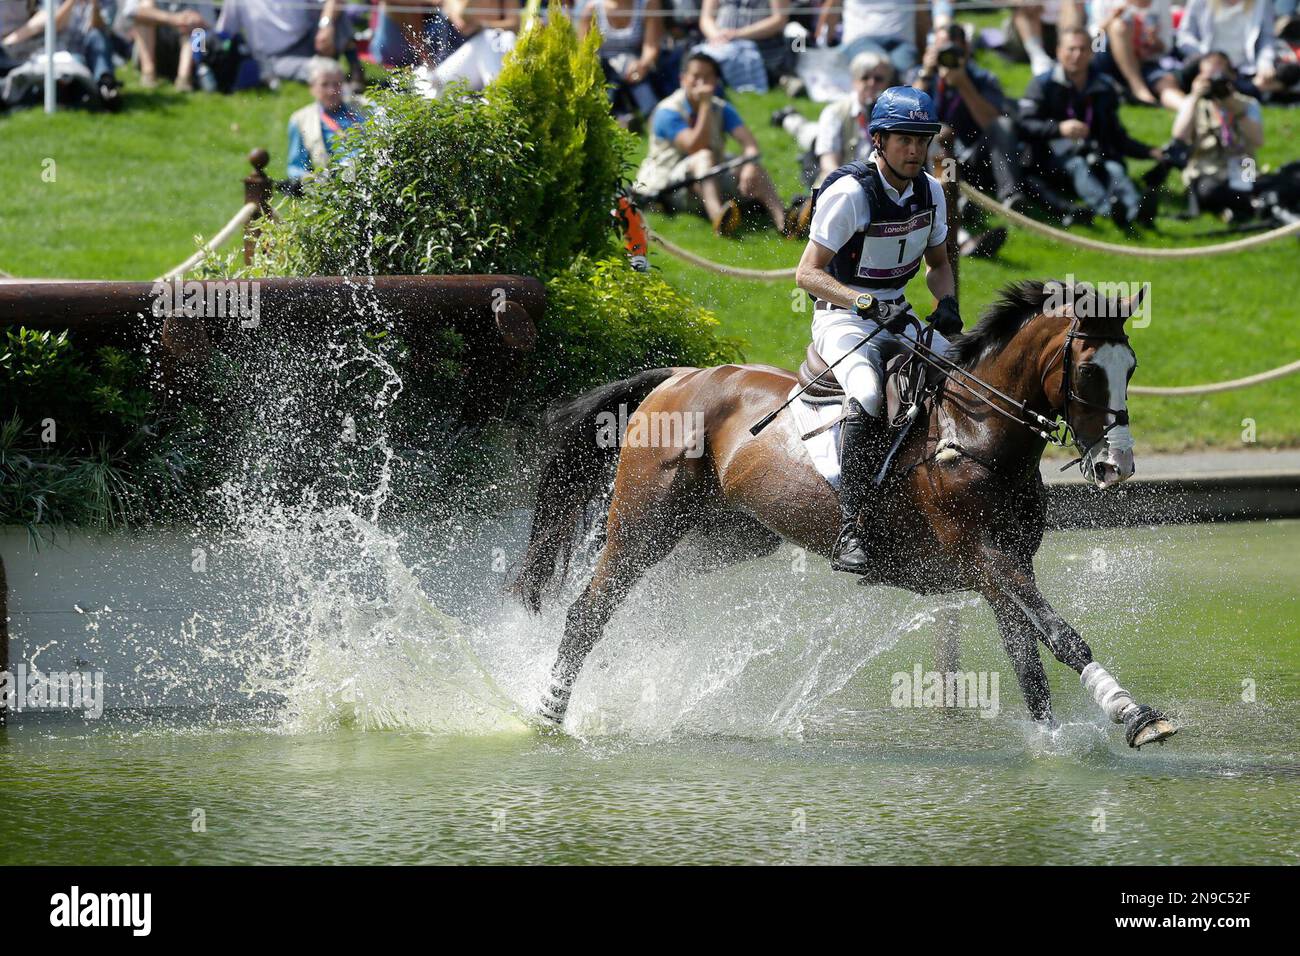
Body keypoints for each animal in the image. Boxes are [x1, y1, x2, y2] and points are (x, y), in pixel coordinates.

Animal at [510, 280, 1178, 749]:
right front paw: (1135, 716)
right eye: (1089, 371)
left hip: (723, 537)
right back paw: (546, 712)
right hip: (646, 521)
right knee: (590, 609)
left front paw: (1052, 742)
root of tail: (681, 376)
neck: (978, 432)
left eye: (1132, 369)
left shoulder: (1006, 568)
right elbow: (1060, 636)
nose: (1117, 466)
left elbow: (1029, 663)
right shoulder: (982, 558)